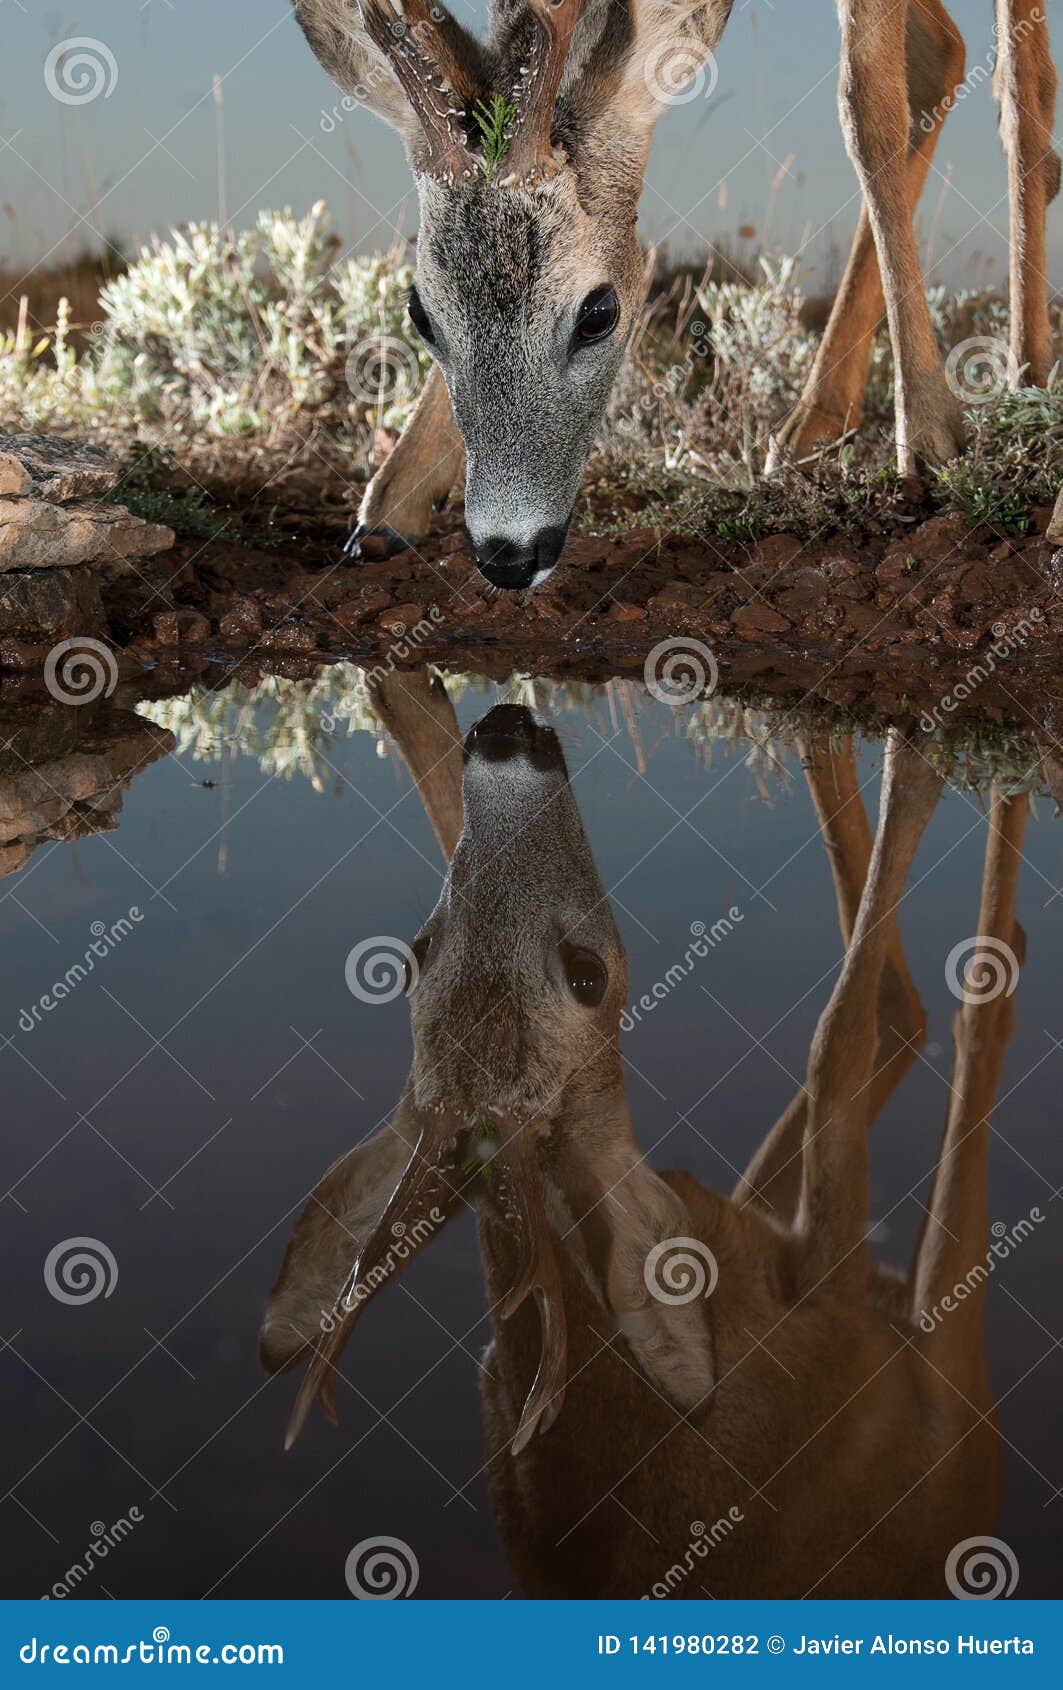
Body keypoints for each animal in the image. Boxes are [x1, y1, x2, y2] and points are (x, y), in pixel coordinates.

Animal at [260, 668, 1030, 1597]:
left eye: (415, 949)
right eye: (586, 974)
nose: (507, 732)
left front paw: (407, 697)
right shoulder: (833, 1299)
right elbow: (836, 1039)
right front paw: (916, 759)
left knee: (905, 1008)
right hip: (952, 1414)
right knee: (946, 1018)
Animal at [291, 1, 1059, 591]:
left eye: (599, 314)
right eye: (420, 314)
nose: (507, 556)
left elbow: (865, 106)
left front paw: (927, 436)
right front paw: (393, 497)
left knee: (1014, 80)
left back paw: (1025, 371)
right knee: (947, 53)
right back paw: (812, 422)